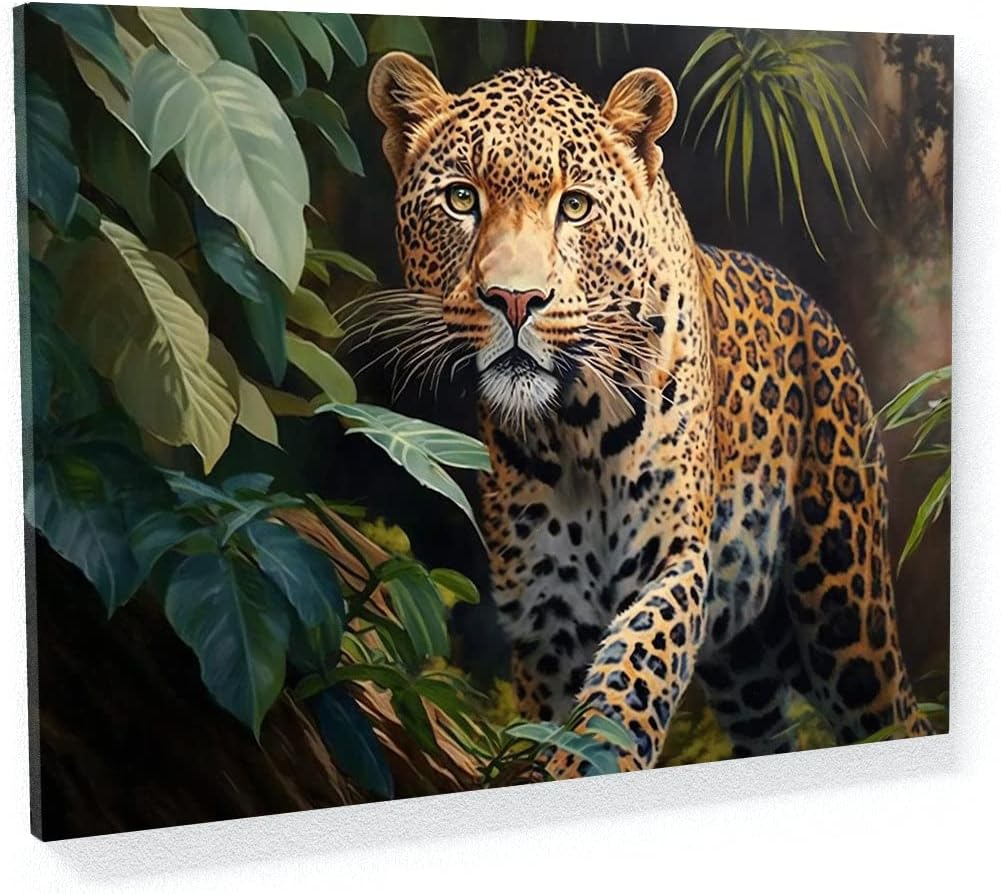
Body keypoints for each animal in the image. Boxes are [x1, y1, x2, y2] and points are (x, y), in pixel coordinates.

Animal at [366, 51, 933, 777]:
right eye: (461, 199)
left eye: (575, 206)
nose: (515, 300)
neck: (572, 422)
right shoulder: (546, 605)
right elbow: (554, 706)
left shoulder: (671, 559)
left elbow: (634, 668)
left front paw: (590, 758)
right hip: (746, 666)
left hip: (845, 604)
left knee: (893, 712)